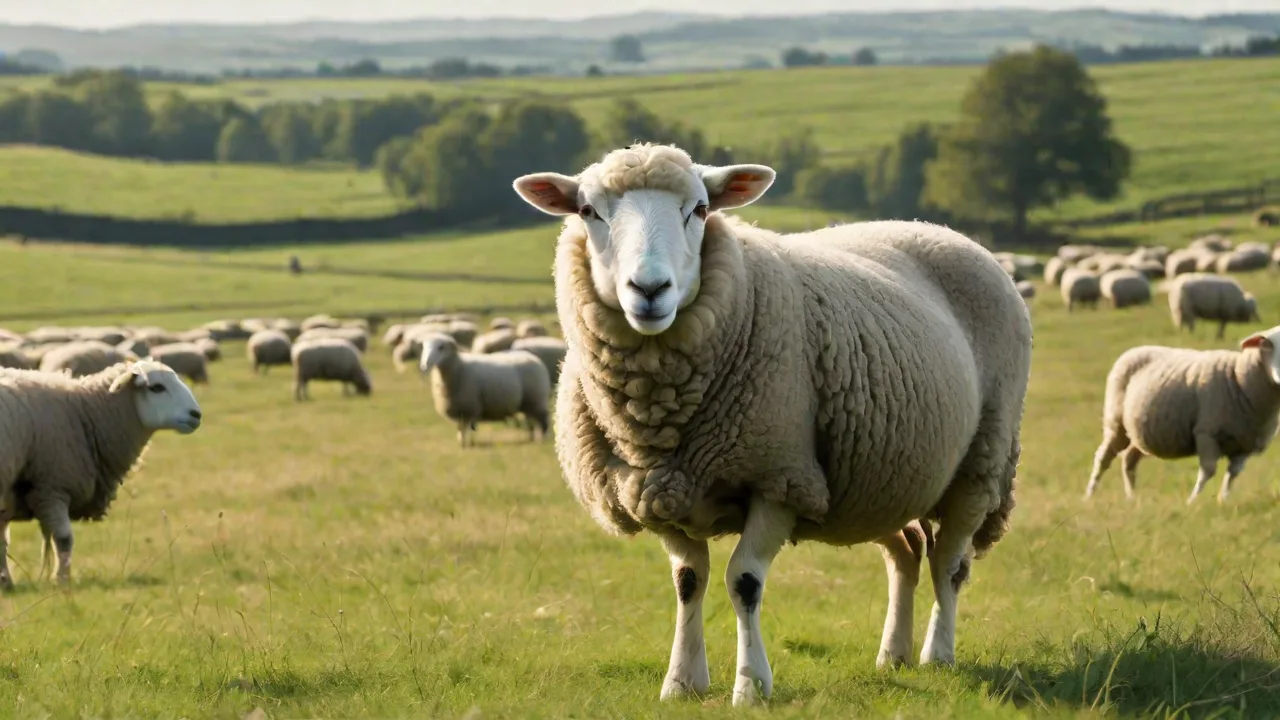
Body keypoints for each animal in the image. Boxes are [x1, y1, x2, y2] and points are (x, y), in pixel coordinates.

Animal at [0, 360, 203, 588]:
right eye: (157, 387)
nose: (196, 415)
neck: (85, 411)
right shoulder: (51, 487)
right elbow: (63, 538)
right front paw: (62, 581)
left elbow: (2, 541)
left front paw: (6, 582)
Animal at [418, 333, 551, 447]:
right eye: (423, 347)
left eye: (441, 347)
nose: (424, 366)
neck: (459, 368)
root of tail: (533, 358)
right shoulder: (460, 410)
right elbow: (461, 429)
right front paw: (462, 443)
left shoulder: (469, 408)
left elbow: (466, 428)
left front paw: (466, 445)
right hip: (528, 403)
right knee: (531, 420)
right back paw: (532, 438)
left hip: (537, 400)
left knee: (543, 421)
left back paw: (541, 440)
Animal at [513, 143, 1032, 705]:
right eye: (588, 211)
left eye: (700, 209)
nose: (649, 289)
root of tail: (935, 228)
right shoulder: (658, 489)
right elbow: (688, 580)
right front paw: (681, 683)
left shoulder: (780, 478)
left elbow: (744, 582)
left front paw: (751, 685)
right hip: (882, 478)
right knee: (907, 554)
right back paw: (893, 655)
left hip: (981, 461)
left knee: (950, 564)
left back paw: (938, 654)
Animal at [1085, 325, 1280, 505]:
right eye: (1267, 345)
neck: (1238, 377)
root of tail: (1134, 349)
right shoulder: (1206, 433)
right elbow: (1208, 471)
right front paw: (1192, 501)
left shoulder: (1245, 444)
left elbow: (1233, 474)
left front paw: (1222, 500)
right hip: (1115, 423)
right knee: (1103, 458)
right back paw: (1089, 496)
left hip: (1138, 433)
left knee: (1129, 460)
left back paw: (1132, 498)